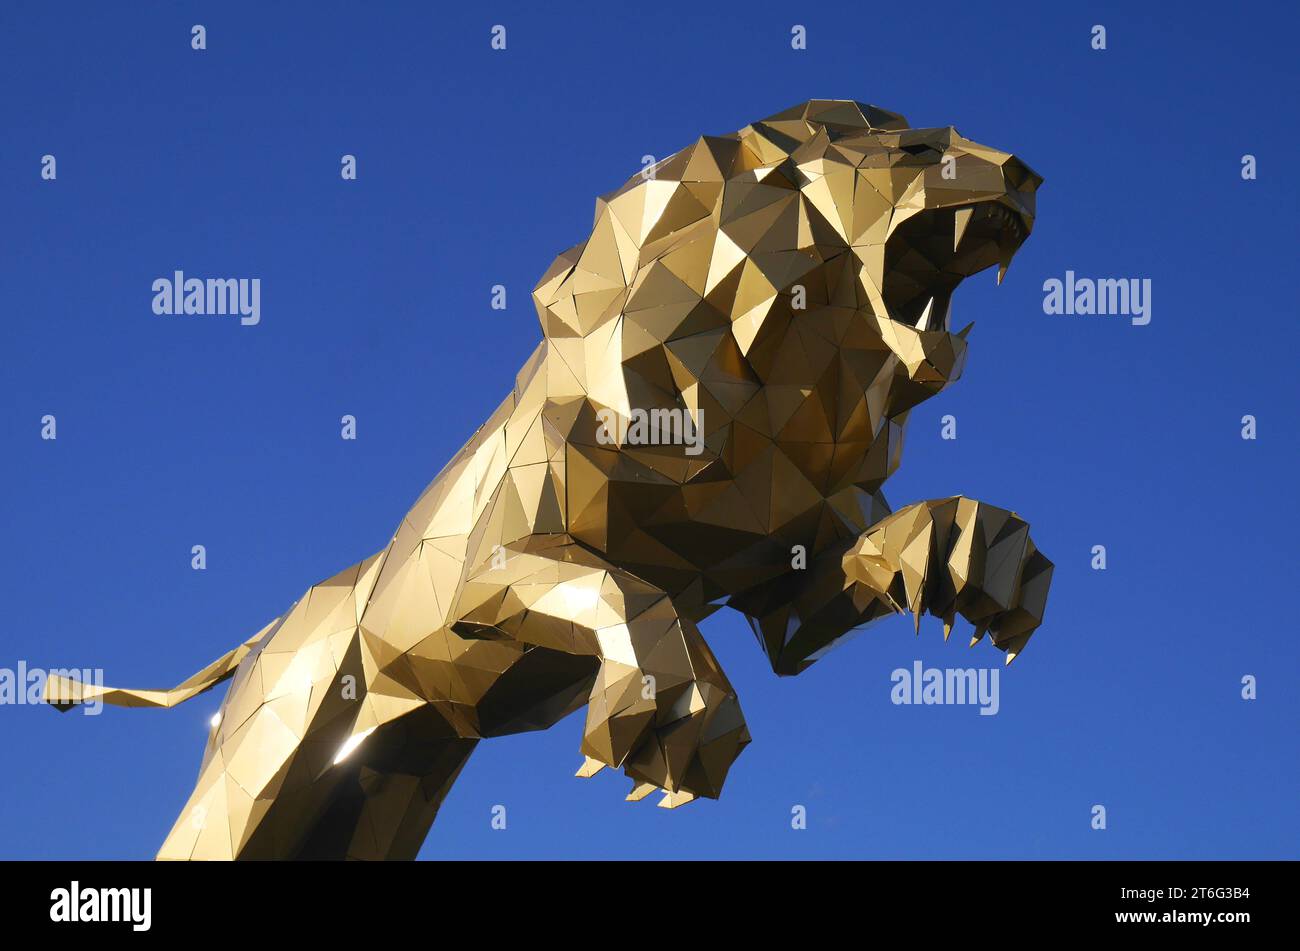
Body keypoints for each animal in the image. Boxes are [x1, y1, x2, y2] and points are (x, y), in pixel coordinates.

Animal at [46, 99, 1053, 859]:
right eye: (910, 148)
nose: (1021, 172)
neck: (771, 386)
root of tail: (267, 633)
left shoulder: (786, 585)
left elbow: (848, 579)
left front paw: (974, 553)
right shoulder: (484, 570)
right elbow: (628, 592)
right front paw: (674, 716)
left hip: (381, 786)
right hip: (261, 765)